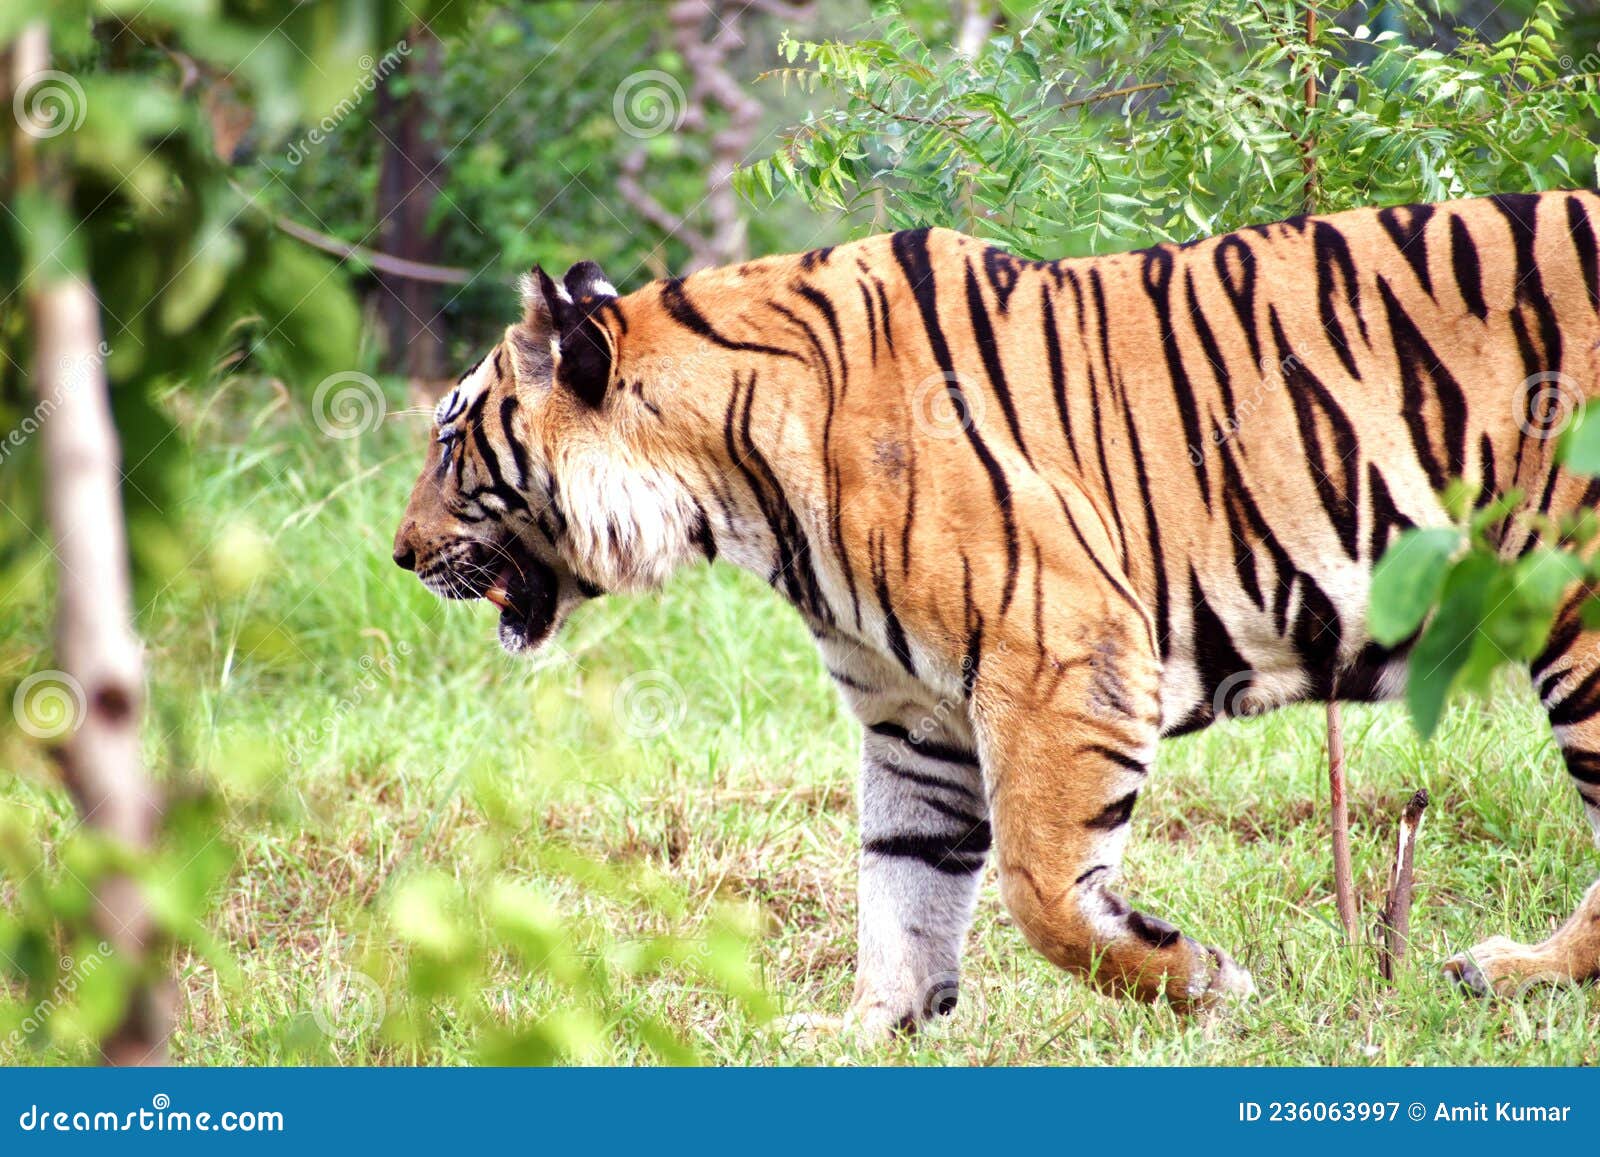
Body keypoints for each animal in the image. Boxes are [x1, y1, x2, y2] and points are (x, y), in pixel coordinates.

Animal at [393, 190, 1600, 1036]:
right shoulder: (913, 713)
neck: (732, 483)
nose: (400, 555)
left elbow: (1039, 892)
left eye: (449, 441)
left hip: (1580, 623)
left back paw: (1511, 970)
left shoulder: (1064, 654)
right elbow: (904, 879)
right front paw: (866, 1029)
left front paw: (1199, 981)